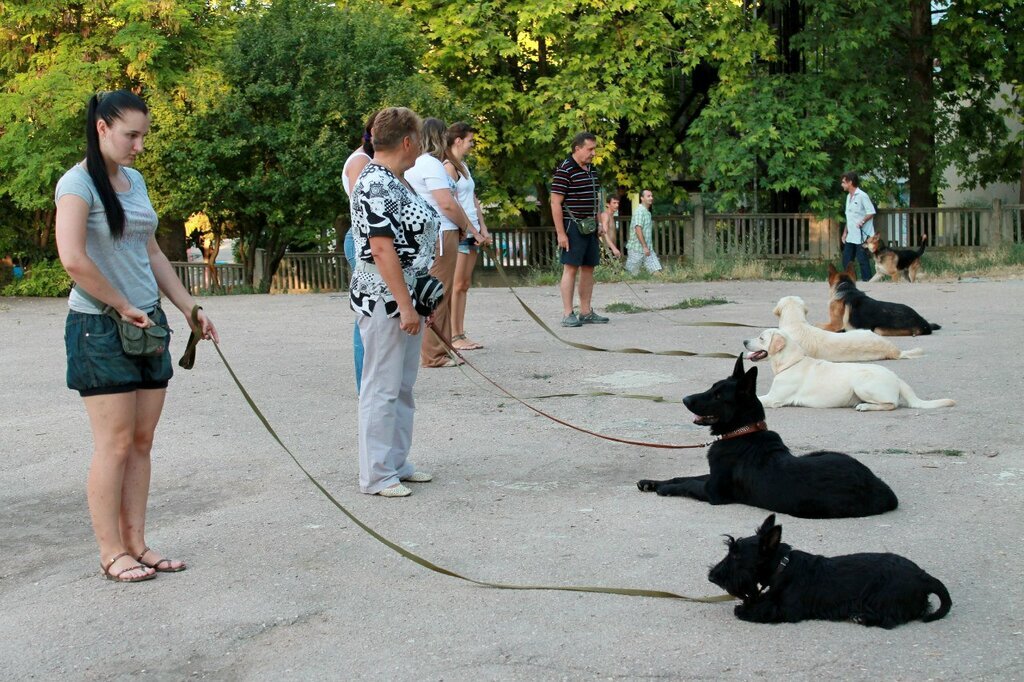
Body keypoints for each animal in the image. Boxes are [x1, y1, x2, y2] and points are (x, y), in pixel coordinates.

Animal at [745, 327, 950, 409]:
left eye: (761, 338)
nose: (744, 341)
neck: (790, 362)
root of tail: (896, 378)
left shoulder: (774, 399)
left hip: (861, 382)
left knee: (891, 404)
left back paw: (864, 406)